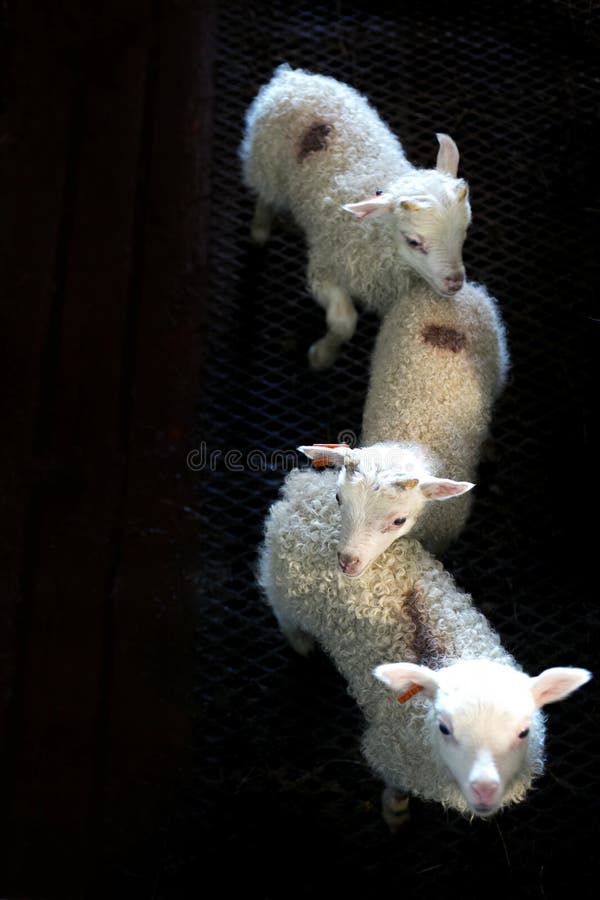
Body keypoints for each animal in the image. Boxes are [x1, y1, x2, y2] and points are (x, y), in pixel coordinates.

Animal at [240, 64, 472, 368]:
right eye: (413, 241)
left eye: (465, 231)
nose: (455, 283)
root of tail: (293, 78)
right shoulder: (324, 267)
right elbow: (344, 322)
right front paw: (322, 356)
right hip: (266, 163)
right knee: (266, 197)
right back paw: (260, 231)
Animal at [257, 479, 591, 822]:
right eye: (445, 727)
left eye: (523, 731)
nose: (484, 788)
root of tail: (304, 487)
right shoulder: (388, 753)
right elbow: (394, 787)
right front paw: (395, 812)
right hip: (283, 587)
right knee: (284, 615)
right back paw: (302, 646)